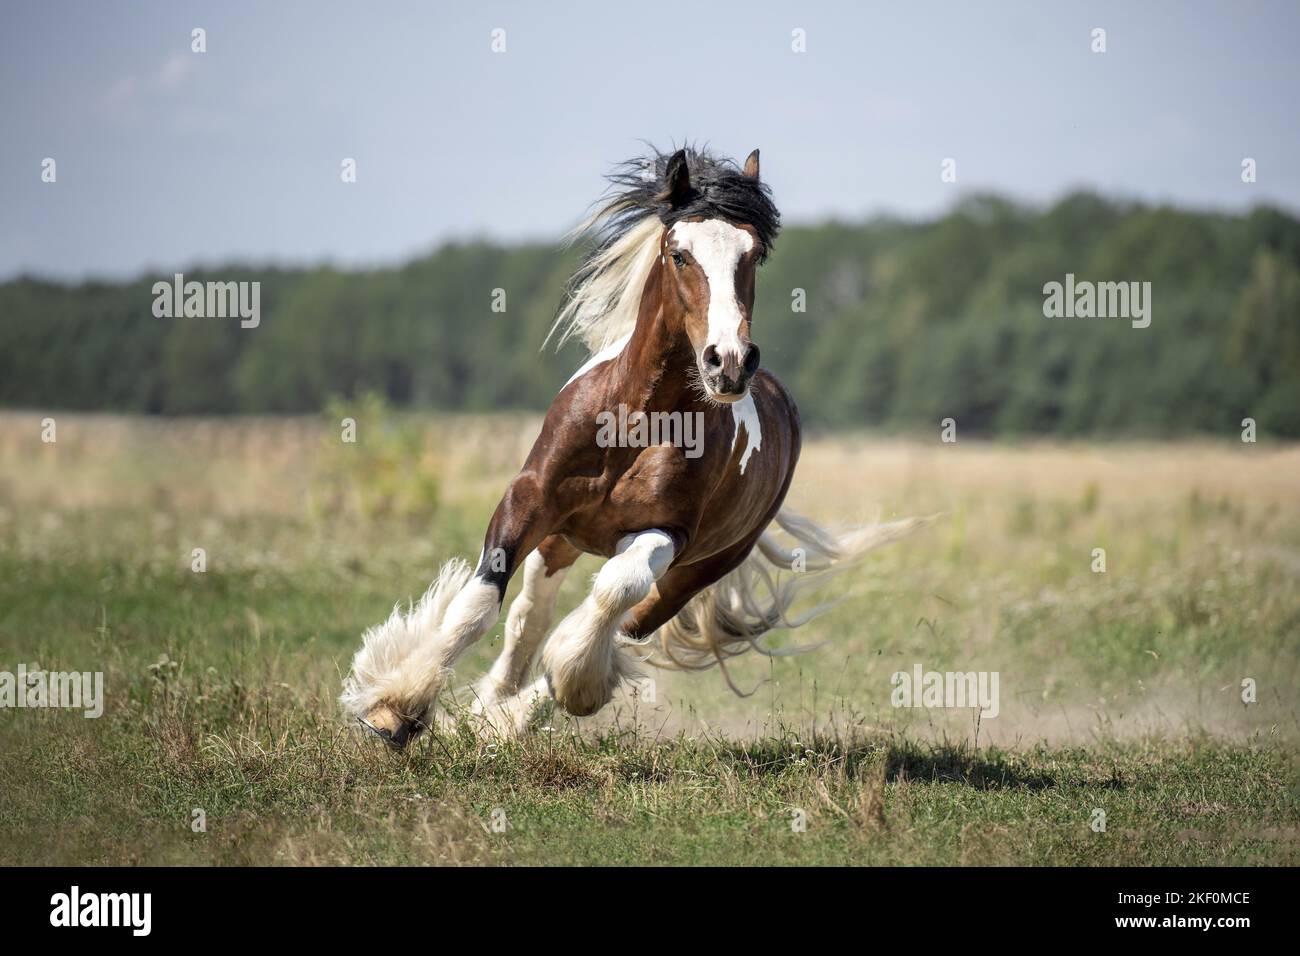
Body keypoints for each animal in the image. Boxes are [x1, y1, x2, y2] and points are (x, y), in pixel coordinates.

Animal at [341, 146, 920, 747]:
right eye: (678, 253)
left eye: (753, 254)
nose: (729, 363)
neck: (633, 422)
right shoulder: (530, 499)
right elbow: (479, 606)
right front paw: (395, 708)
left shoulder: (667, 533)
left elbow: (604, 609)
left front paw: (522, 700)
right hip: (562, 539)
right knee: (530, 616)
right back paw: (488, 708)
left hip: (700, 568)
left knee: (619, 631)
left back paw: (503, 719)